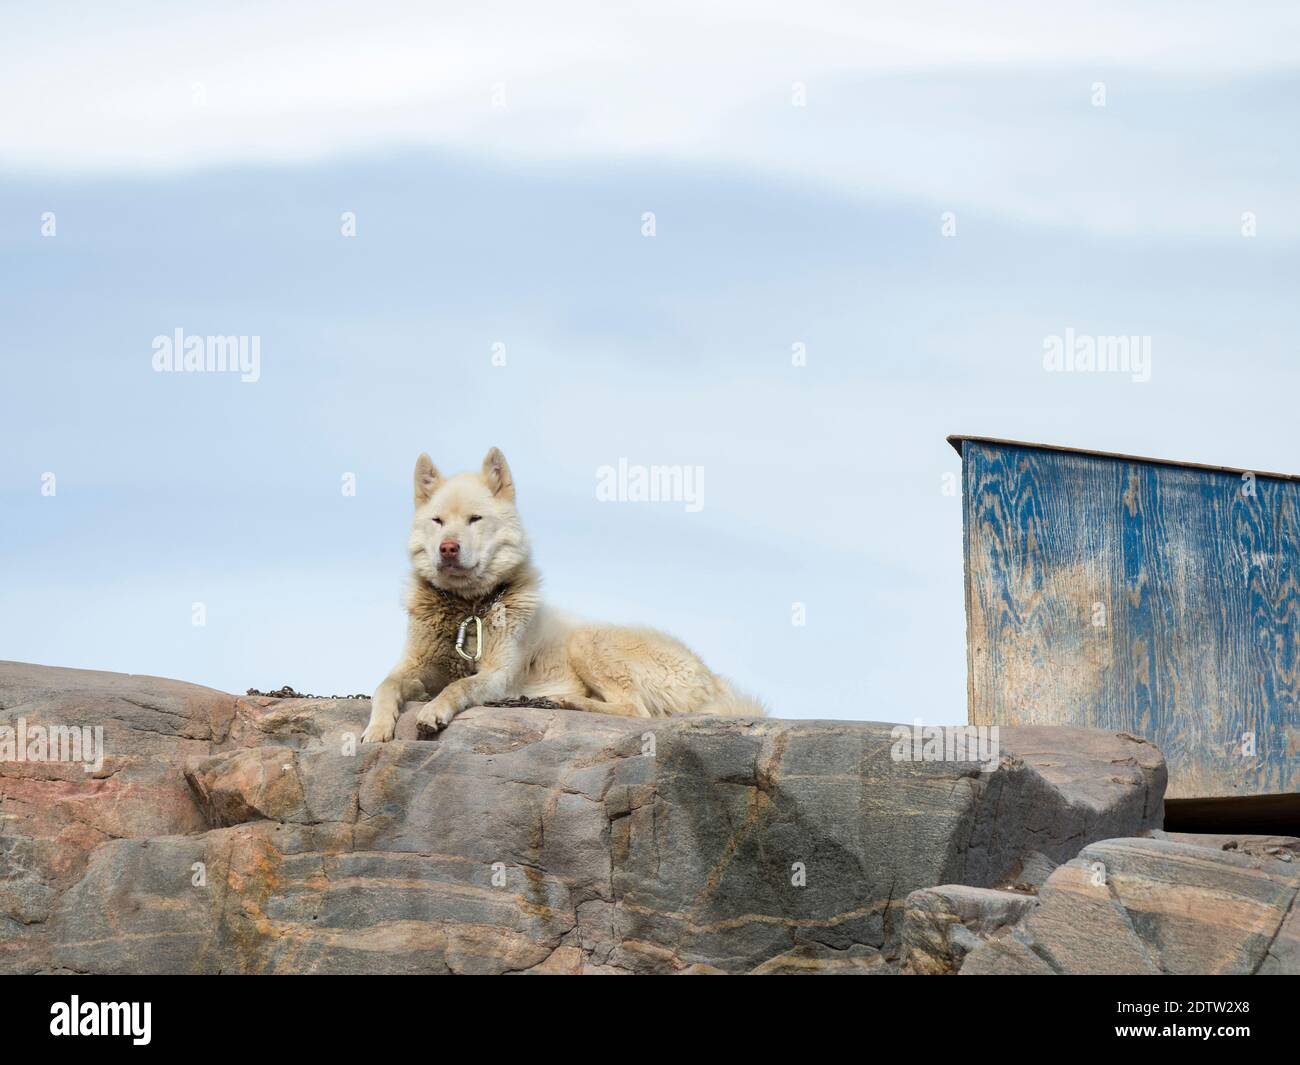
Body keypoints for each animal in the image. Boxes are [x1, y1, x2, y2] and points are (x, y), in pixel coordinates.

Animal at [361, 448, 765, 742]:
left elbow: (459, 685)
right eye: (438, 521)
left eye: (475, 519)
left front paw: (432, 710)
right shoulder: (414, 667)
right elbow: (384, 685)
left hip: (589, 640)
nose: (447, 549)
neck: (468, 608)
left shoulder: (497, 675)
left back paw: (560, 700)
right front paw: (376, 729)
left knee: (634, 709)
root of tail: (713, 681)